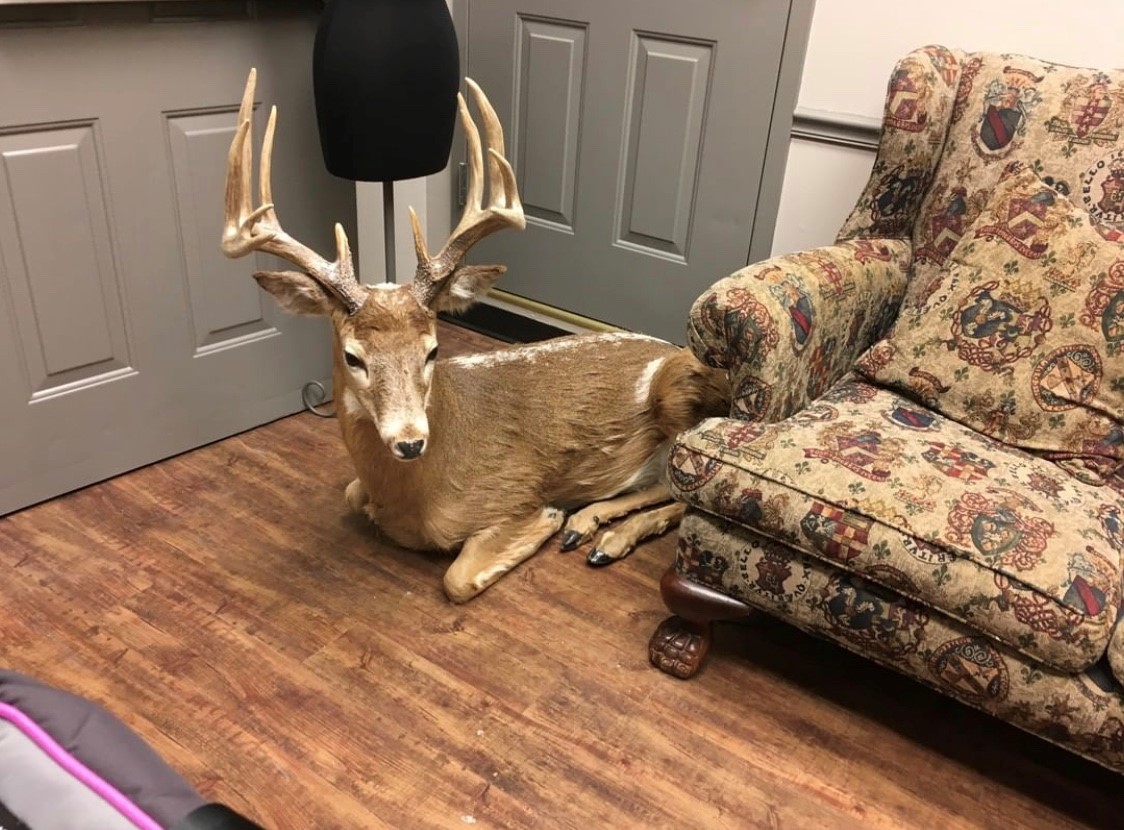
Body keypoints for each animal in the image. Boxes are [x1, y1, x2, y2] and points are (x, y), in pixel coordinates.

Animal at [221, 69, 729, 603]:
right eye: (352, 356)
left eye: (433, 350)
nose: (409, 441)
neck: (416, 493)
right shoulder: (363, 488)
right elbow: (349, 492)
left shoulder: (510, 493)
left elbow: (457, 578)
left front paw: (551, 517)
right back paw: (588, 525)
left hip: (678, 393)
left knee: (682, 489)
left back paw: (598, 533)